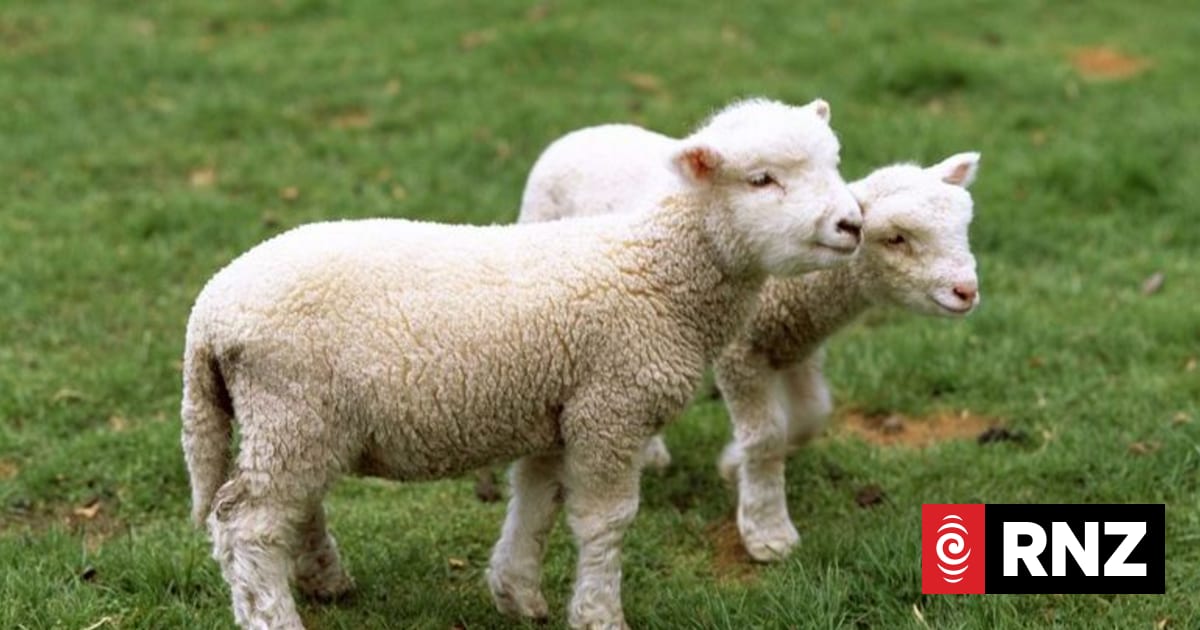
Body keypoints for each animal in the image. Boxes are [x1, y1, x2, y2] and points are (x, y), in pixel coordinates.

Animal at [181, 97, 863, 629]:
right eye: (762, 179)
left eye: (834, 164)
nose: (851, 223)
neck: (657, 269)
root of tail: (209, 313)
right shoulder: (610, 410)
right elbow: (604, 522)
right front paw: (598, 613)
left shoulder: (555, 412)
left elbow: (536, 505)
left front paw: (516, 592)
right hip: (291, 411)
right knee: (247, 526)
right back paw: (274, 616)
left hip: (301, 424)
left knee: (293, 508)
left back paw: (325, 578)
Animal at [517, 123, 981, 562]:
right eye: (896, 238)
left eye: (963, 228)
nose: (967, 291)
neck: (800, 288)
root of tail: (582, 133)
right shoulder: (740, 353)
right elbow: (766, 435)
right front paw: (766, 529)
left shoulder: (797, 342)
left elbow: (811, 415)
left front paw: (732, 463)